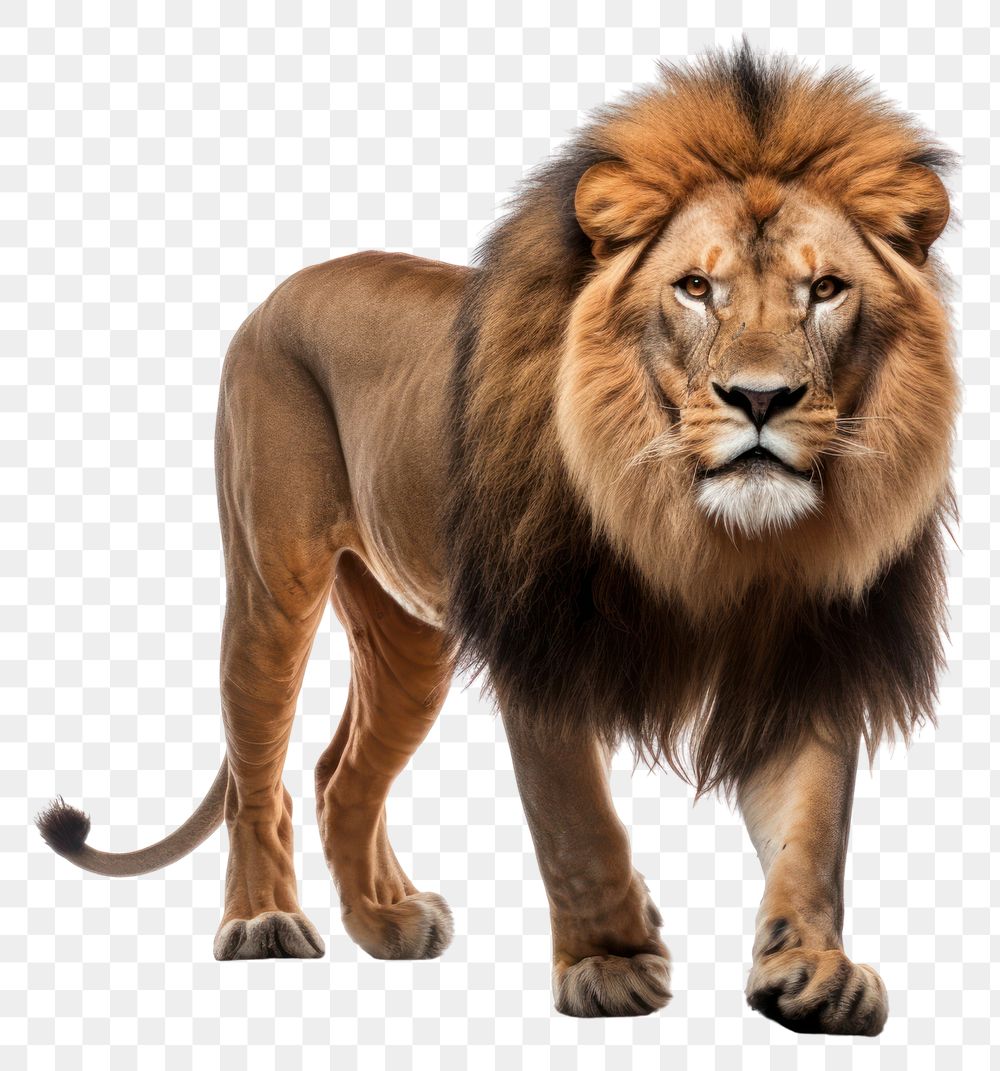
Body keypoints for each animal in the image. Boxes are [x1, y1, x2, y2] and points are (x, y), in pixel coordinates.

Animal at [36, 44, 956, 1035]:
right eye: (694, 287)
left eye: (824, 289)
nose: (760, 398)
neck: (708, 537)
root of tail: (279, 292)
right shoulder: (543, 638)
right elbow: (576, 821)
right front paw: (608, 961)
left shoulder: (810, 648)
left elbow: (813, 831)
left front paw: (816, 970)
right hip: (271, 581)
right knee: (260, 771)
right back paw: (262, 922)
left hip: (407, 635)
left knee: (338, 774)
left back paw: (389, 919)